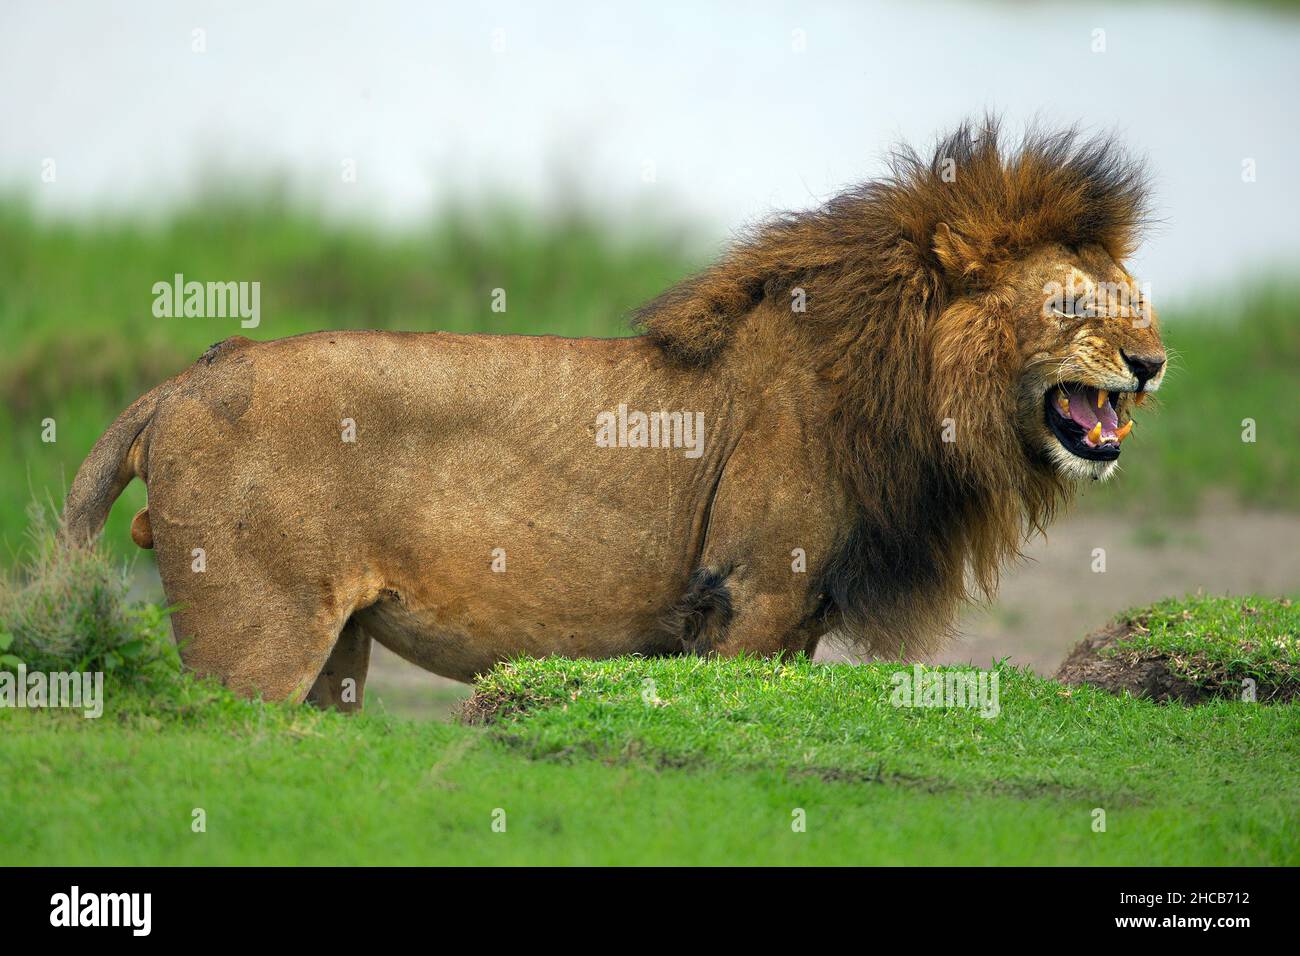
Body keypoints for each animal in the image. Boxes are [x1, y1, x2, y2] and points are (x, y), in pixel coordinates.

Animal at [63, 119, 1166, 710]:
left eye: (1136, 299)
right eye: (1074, 305)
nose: (1153, 363)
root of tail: (183, 379)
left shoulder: (792, 618)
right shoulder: (749, 597)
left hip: (335, 649)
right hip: (253, 638)